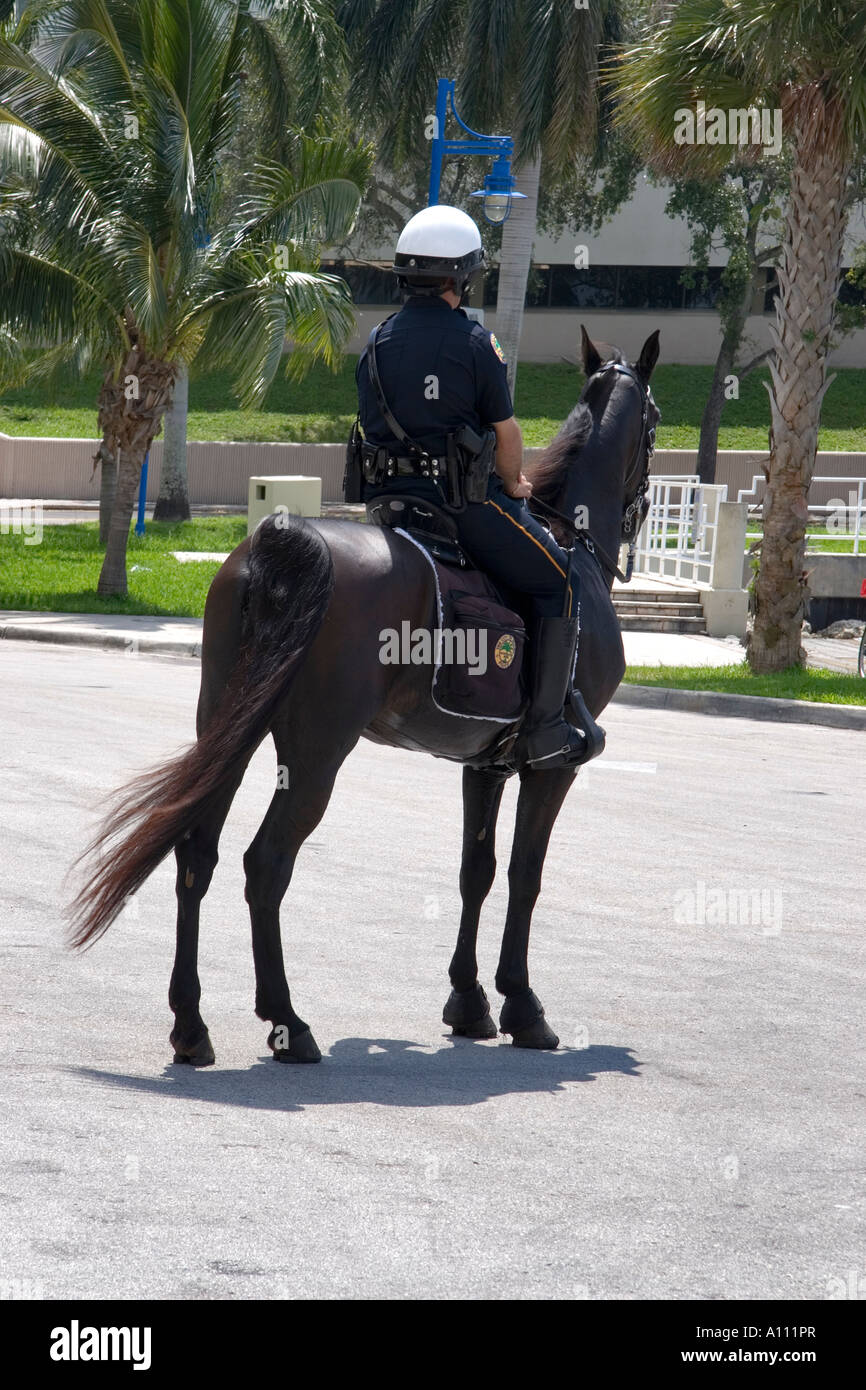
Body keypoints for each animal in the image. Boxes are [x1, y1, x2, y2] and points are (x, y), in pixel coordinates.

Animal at [69, 325, 661, 1065]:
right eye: (655, 420)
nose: (645, 509)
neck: (570, 545)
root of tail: (278, 545)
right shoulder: (551, 768)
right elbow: (526, 874)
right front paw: (522, 1005)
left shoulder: (485, 763)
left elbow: (477, 869)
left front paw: (468, 1001)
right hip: (318, 750)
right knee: (266, 863)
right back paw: (288, 1022)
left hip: (230, 729)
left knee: (196, 856)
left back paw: (191, 1024)